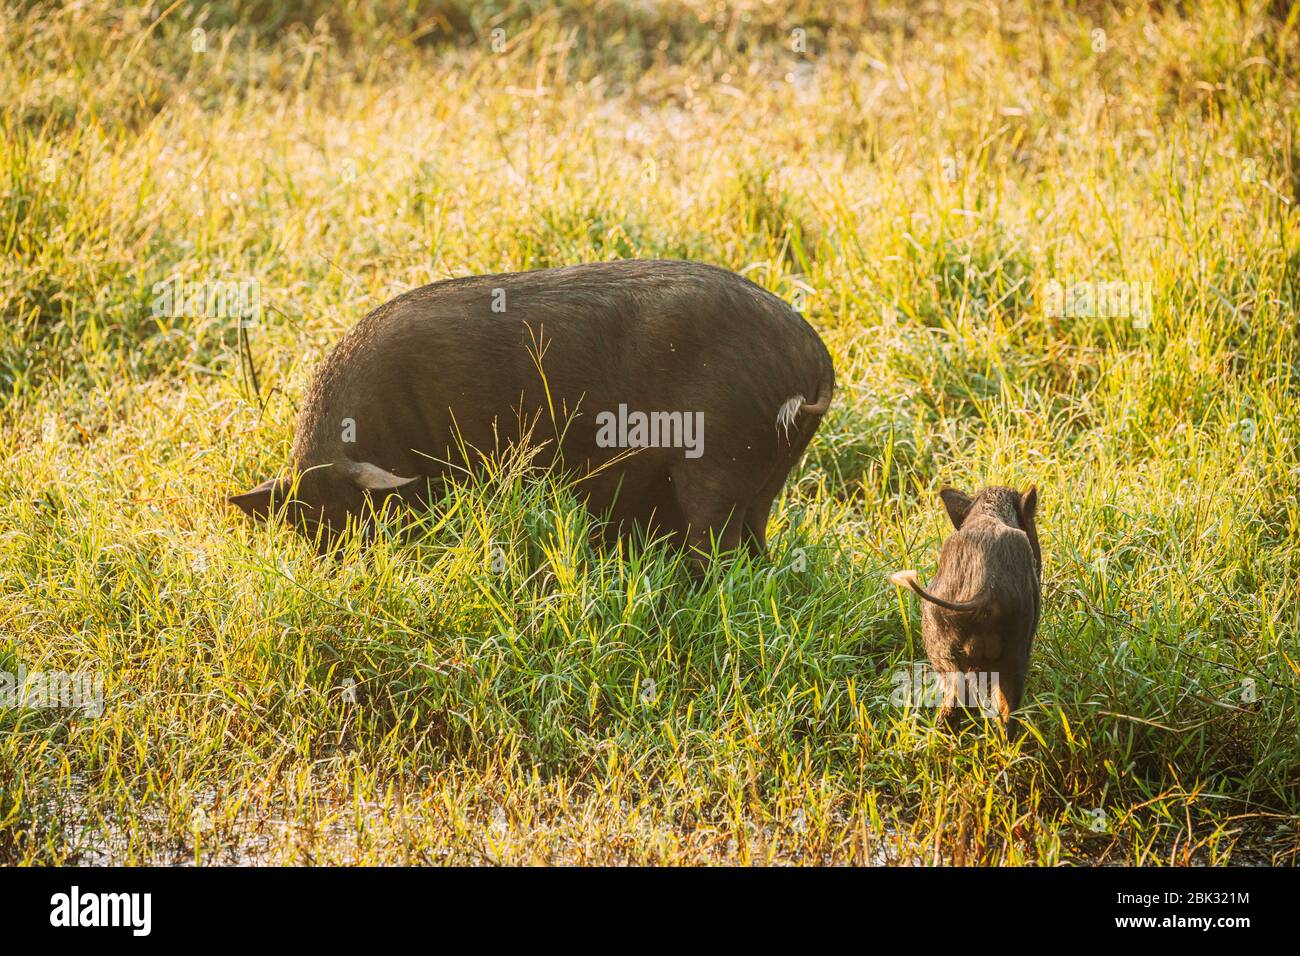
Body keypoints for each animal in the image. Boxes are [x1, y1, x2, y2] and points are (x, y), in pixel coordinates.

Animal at [229, 259, 835, 568]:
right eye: (308, 529)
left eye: (361, 519)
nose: (346, 574)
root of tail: (814, 358)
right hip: (765, 478)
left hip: (718, 460)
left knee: (720, 548)